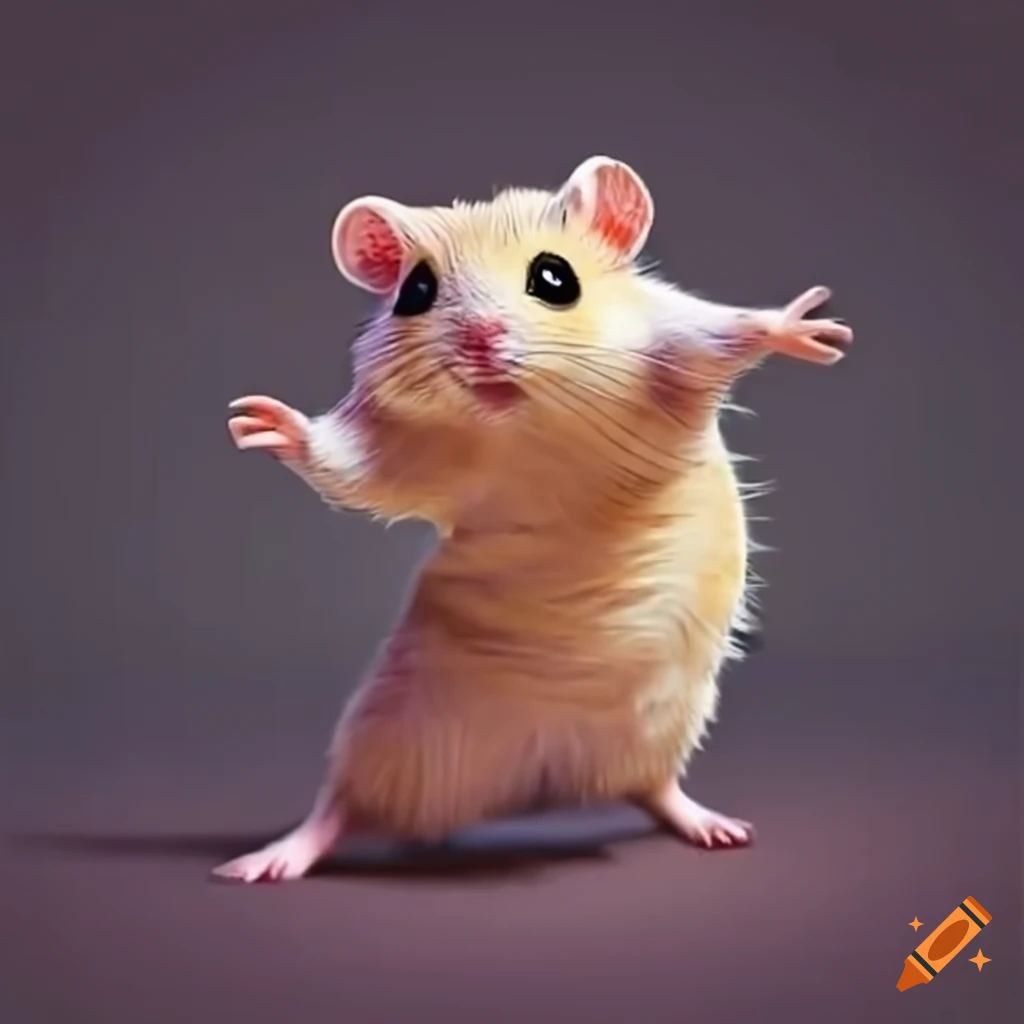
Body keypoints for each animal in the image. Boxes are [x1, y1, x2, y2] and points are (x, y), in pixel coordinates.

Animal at [215, 156, 852, 882]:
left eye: (555, 278)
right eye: (416, 291)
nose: (481, 343)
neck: (525, 420)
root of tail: (541, 780)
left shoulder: (671, 346)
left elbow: (726, 336)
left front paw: (812, 328)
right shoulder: (394, 444)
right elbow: (350, 464)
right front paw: (258, 421)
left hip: (666, 724)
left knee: (656, 789)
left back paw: (717, 828)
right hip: (382, 724)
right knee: (340, 804)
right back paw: (267, 860)